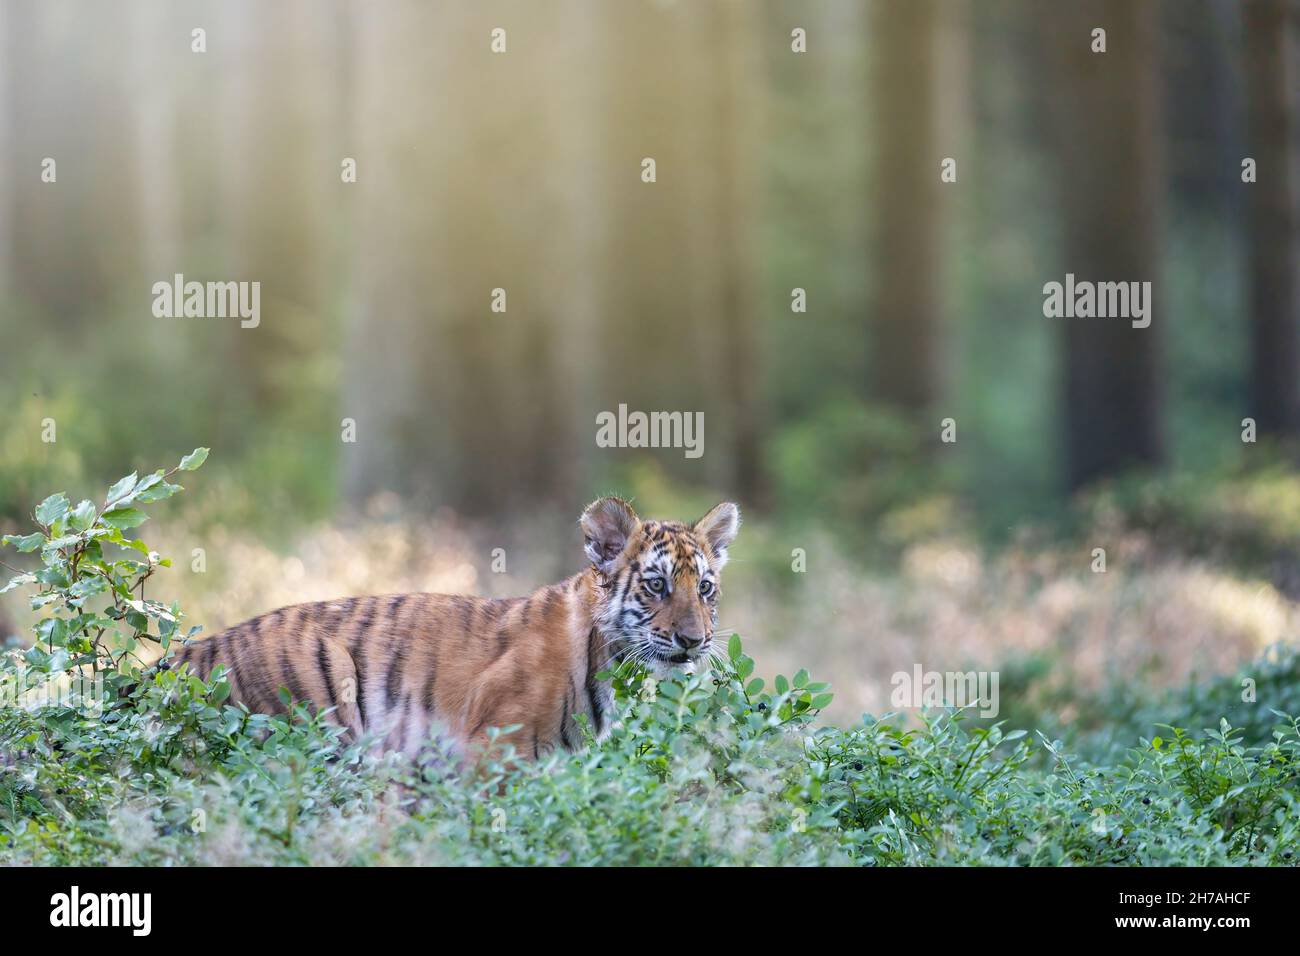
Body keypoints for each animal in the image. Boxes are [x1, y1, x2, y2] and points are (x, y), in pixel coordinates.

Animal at [167, 497, 739, 760]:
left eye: (705, 588)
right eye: (656, 586)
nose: (694, 641)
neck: (609, 658)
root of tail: (184, 660)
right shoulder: (492, 749)